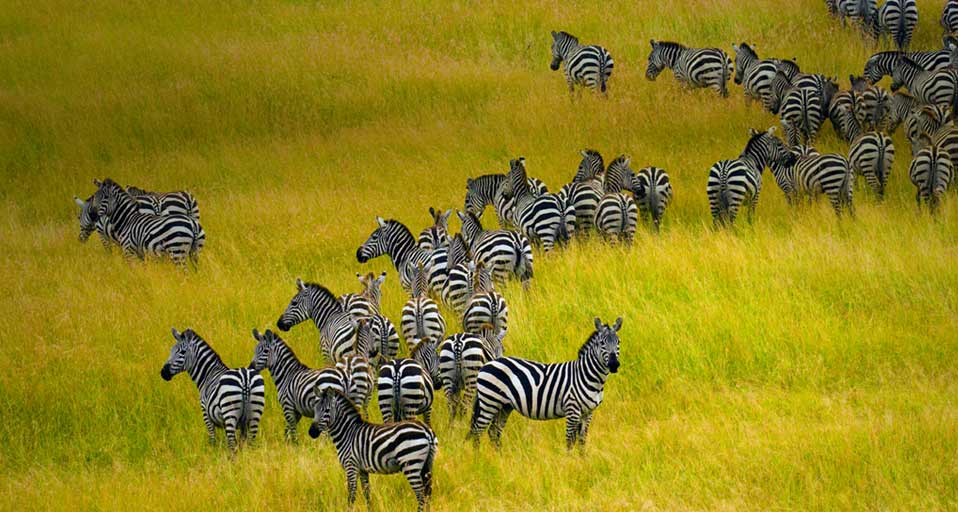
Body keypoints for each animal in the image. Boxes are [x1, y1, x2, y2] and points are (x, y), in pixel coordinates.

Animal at [307, 389, 437, 512]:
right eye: (315, 409)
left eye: (327, 410)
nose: (311, 432)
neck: (348, 432)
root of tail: (427, 430)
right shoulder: (362, 470)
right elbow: (367, 493)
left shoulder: (351, 466)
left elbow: (351, 495)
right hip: (426, 465)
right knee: (428, 493)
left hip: (411, 464)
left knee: (421, 495)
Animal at [468, 317, 622, 450]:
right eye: (602, 343)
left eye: (618, 342)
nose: (614, 365)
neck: (587, 376)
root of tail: (487, 364)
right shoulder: (572, 410)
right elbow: (569, 441)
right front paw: (570, 461)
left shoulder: (588, 412)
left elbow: (582, 440)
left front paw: (582, 460)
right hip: (489, 402)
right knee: (477, 432)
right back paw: (479, 459)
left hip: (504, 406)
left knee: (493, 432)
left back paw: (499, 457)